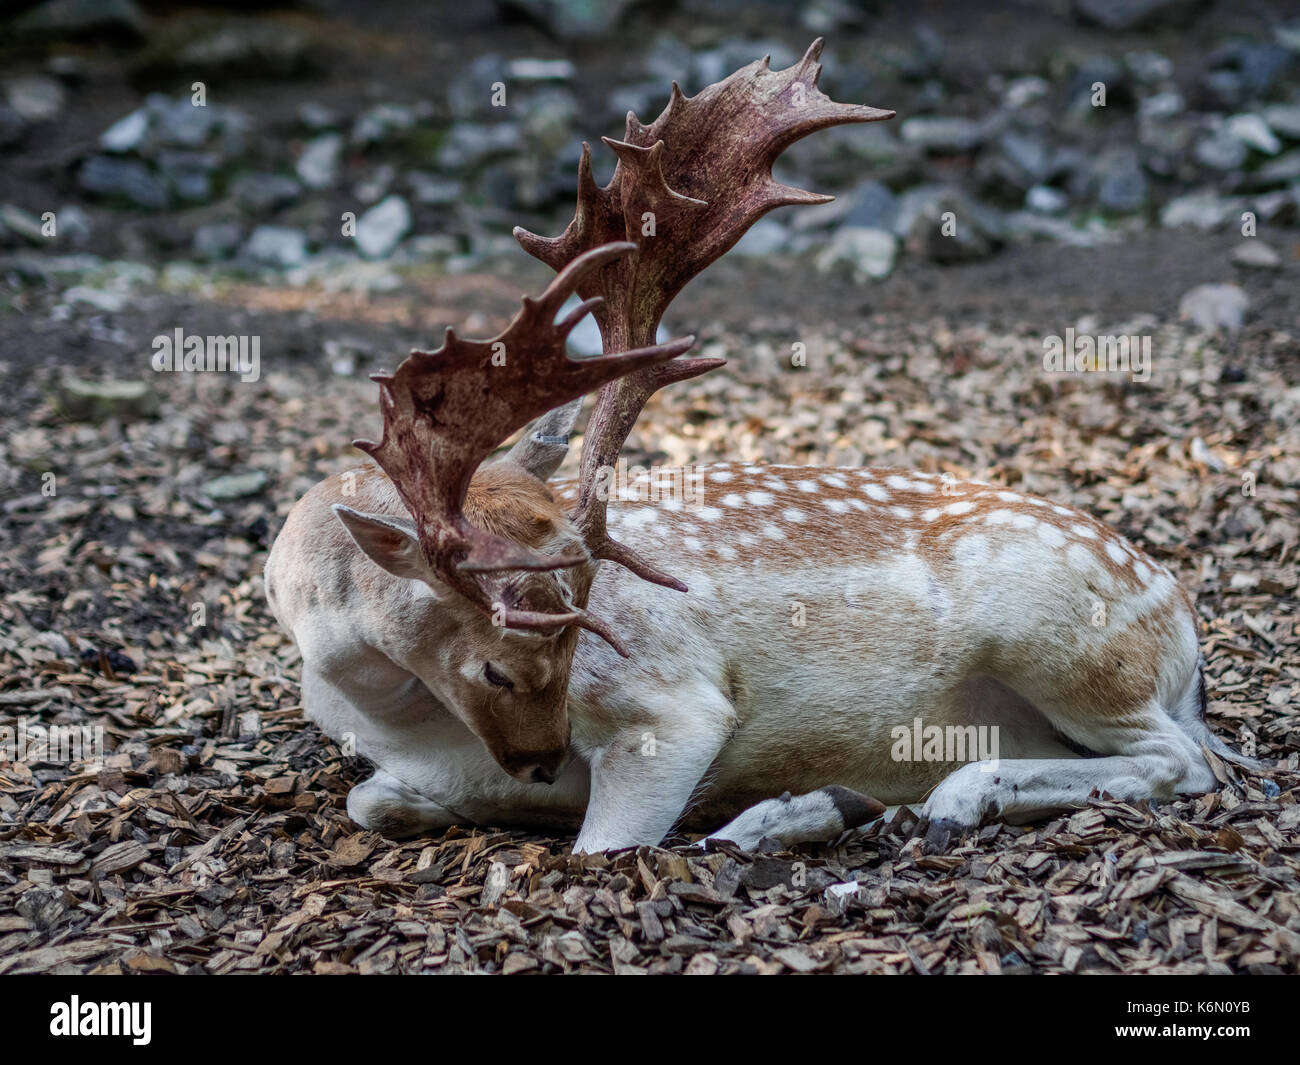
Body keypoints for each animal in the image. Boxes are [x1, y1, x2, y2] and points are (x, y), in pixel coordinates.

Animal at [264, 41, 1249, 855]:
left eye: (581, 640)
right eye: (496, 667)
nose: (545, 760)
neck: (383, 713)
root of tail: (1184, 636)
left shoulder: (674, 704)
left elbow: (602, 850)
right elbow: (369, 800)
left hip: (1061, 635)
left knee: (1186, 761)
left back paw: (938, 799)